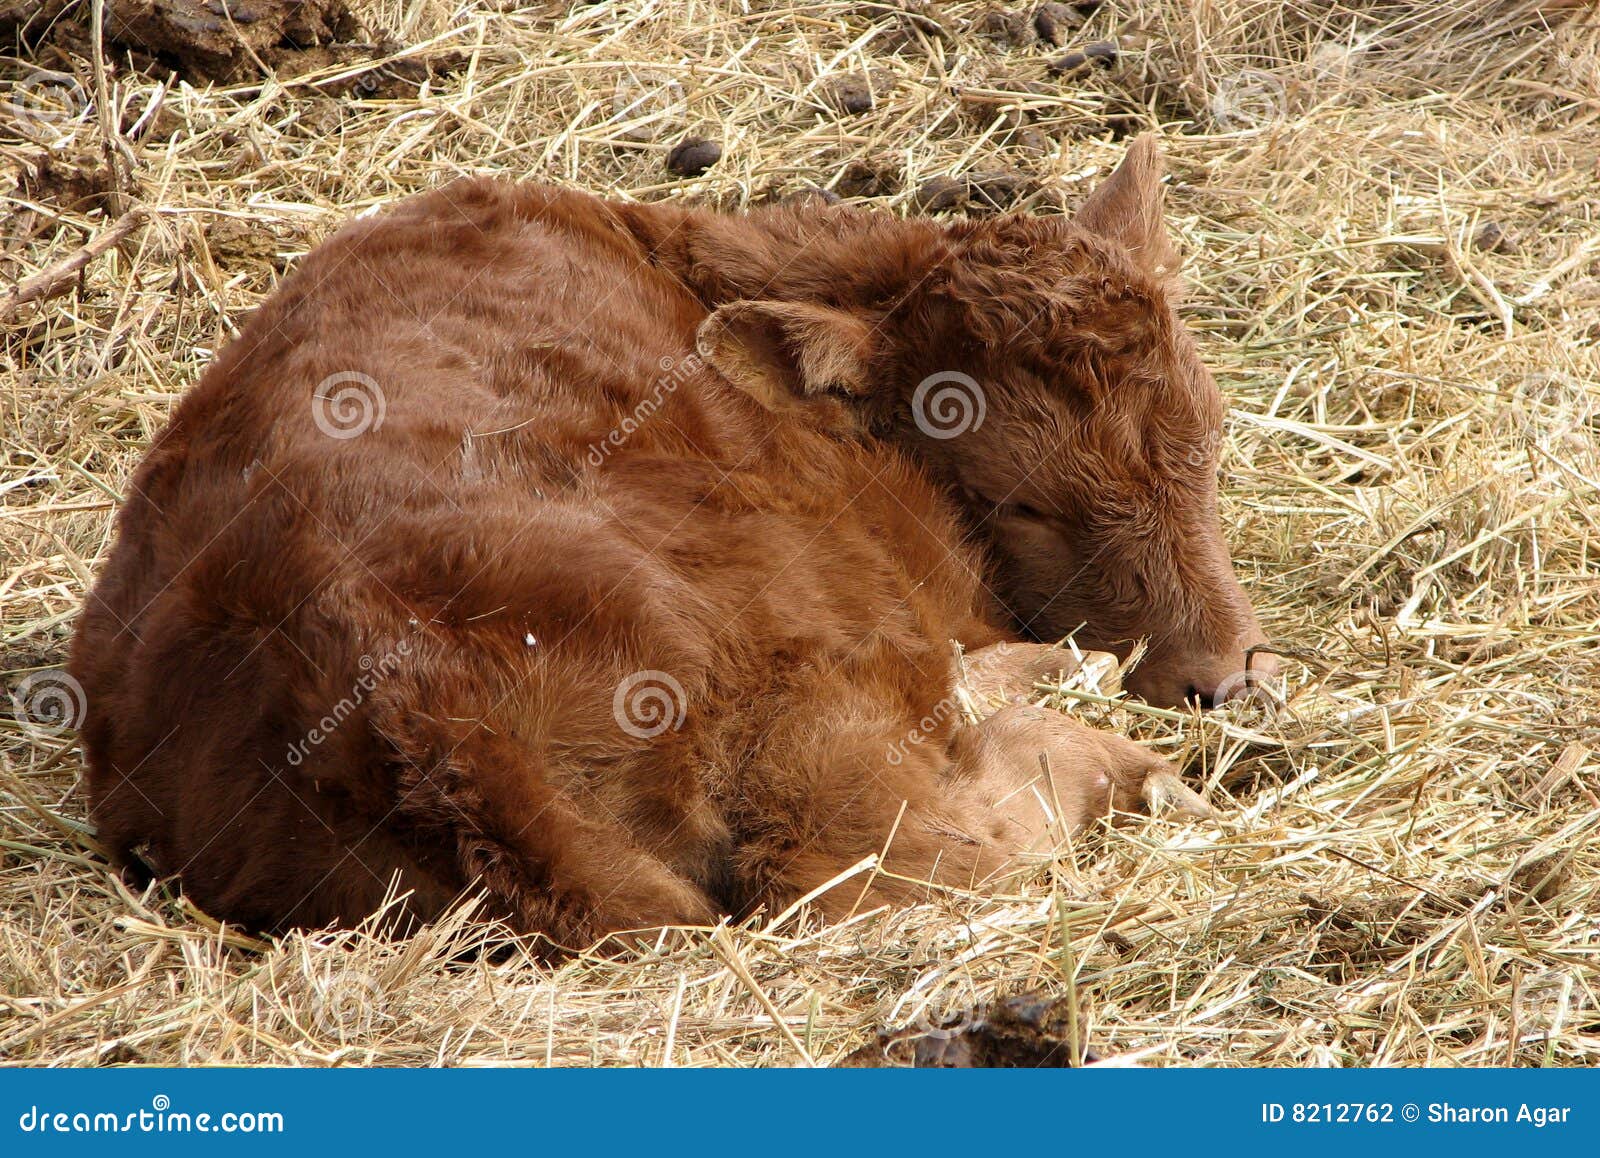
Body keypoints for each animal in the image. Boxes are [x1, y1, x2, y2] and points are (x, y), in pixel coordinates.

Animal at [69, 137, 1275, 949]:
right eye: (1020, 501)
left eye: (1209, 433)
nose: (1224, 676)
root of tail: (407, 707)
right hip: (801, 673)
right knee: (867, 853)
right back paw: (1116, 747)